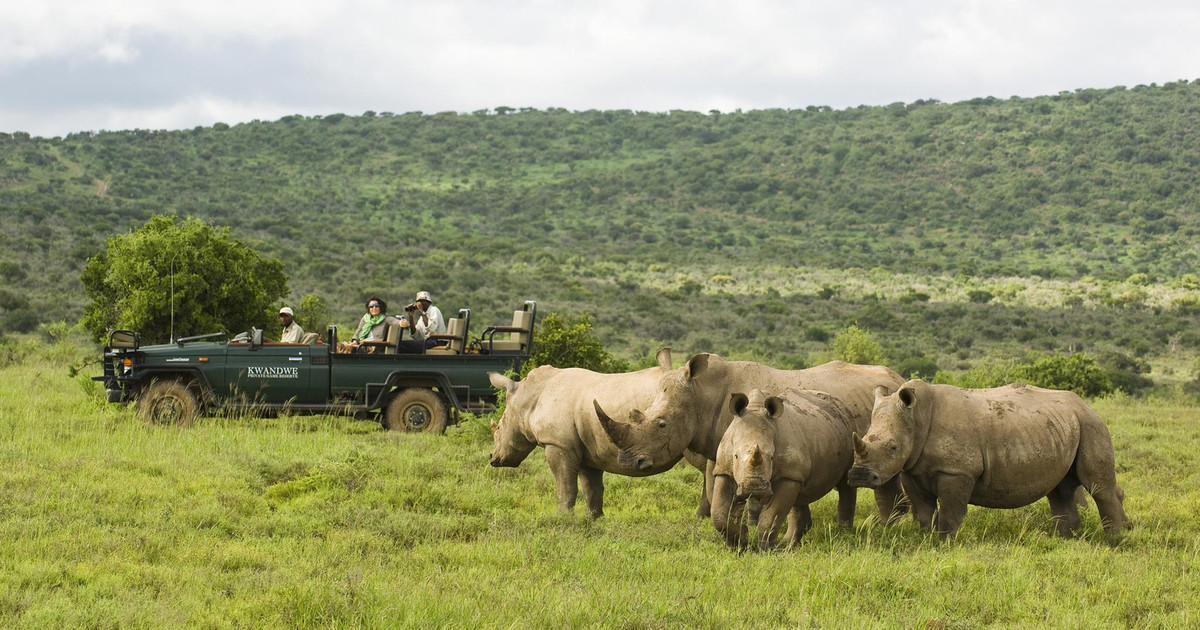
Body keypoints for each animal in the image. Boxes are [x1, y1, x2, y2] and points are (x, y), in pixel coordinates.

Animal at [487, 348, 687, 518]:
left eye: (499, 428)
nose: (492, 458)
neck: (528, 398)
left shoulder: (559, 444)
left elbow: (565, 487)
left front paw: (563, 518)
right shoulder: (589, 448)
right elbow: (592, 489)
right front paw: (594, 519)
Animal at [595, 354, 908, 522]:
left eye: (661, 424)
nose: (627, 462)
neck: (701, 396)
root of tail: (898, 377)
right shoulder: (720, 448)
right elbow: (710, 484)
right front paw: (705, 518)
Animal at [712, 389, 858, 550]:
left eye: (771, 457)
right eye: (736, 456)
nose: (754, 489)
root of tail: (841, 405)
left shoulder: (788, 476)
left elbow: (771, 516)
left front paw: (766, 550)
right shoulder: (723, 470)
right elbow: (718, 515)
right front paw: (738, 544)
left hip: (850, 432)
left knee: (846, 484)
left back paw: (844, 537)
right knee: (799, 496)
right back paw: (788, 546)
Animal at [848, 379, 1131, 539]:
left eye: (893, 447)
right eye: (865, 436)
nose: (859, 476)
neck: (916, 419)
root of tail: (1086, 405)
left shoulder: (957, 471)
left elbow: (950, 511)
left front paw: (944, 542)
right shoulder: (912, 469)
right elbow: (923, 512)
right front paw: (923, 539)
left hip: (1091, 424)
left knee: (1098, 487)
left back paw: (1114, 540)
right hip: (1064, 425)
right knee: (1060, 489)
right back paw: (1063, 539)